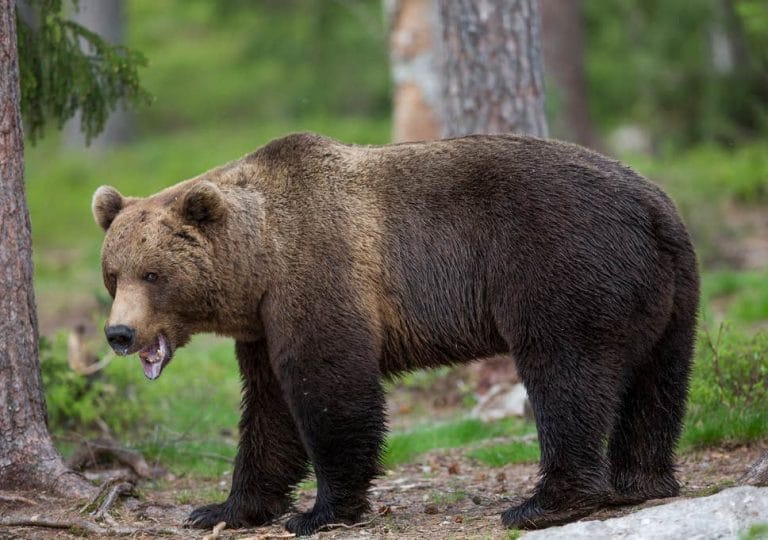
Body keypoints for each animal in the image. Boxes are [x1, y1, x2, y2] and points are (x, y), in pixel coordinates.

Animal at [91, 132, 699, 536]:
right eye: (113, 273)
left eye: (153, 274)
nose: (119, 333)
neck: (260, 262)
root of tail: (655, 206)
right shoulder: (263, 325)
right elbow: (268, 409)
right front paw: (222, 509)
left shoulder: (320, 275)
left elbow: (329, 388)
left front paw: (319, 511)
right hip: (670, 293)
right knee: (657, 383)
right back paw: (642, 480)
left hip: (563, 266)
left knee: (565, 375)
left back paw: (546, 502)